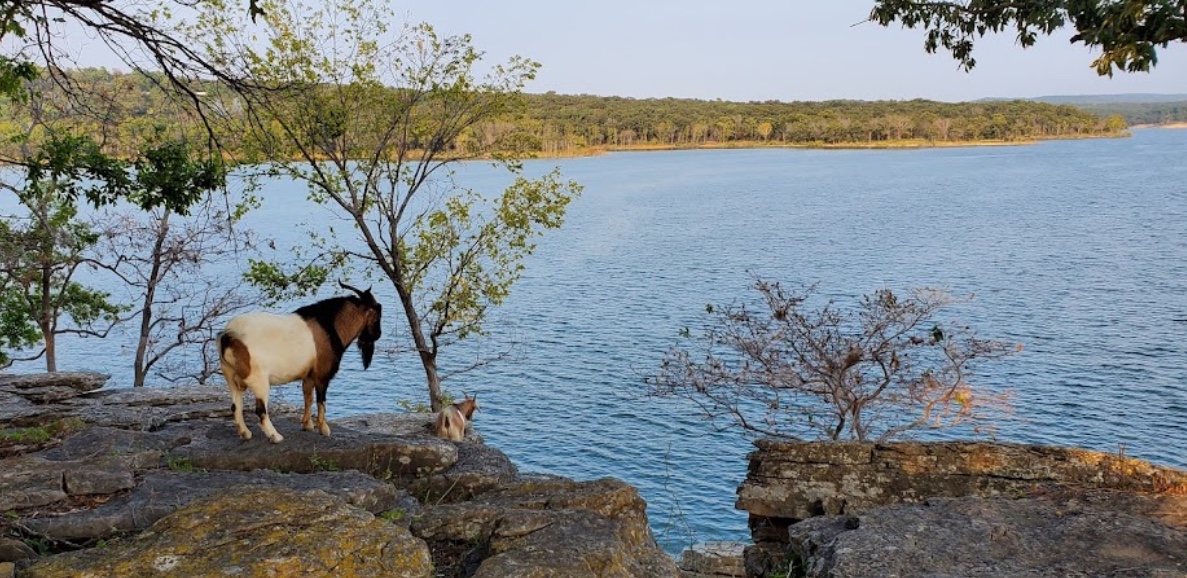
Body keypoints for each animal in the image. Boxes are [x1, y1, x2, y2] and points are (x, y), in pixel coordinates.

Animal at [218, 282, 382, 443]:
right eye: (378, 312)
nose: (378, 334)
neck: (328, 327)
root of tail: (229, 335)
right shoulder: (322, 374)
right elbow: (321, 400)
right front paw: (324, 429)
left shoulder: (307, 375)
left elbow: (308, 397)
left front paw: (307, 425)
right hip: (258, 379)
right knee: (260, 409)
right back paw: (275, 436)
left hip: (230, 376)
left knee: (236, 406)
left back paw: (245, 433)